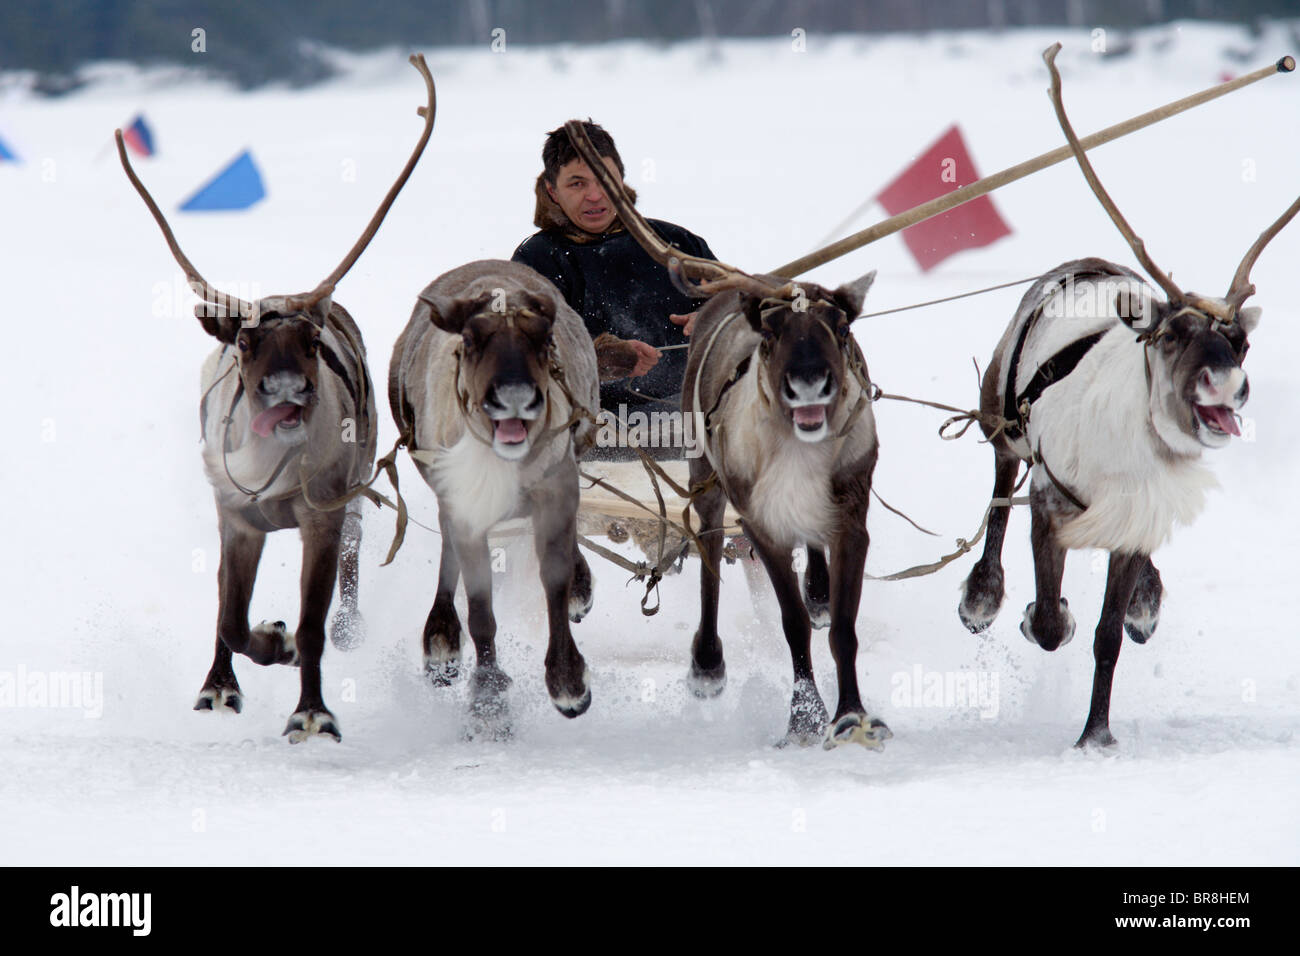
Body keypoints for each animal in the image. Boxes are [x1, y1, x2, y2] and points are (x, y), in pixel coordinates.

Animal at [116, 54, 437, 743]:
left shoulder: (321, 512)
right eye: (244, 338)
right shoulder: (235, 514)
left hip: (359, 484)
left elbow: (312, 626)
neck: (272, 472)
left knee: (352, 565)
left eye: (311, 342)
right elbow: (229, 617)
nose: (287, 395)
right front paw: (236, 671)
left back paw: (346, 629)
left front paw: (312, 711)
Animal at [389, 259, 600, 737]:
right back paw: (441, 641)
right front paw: (488, 702)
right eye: (469, 339)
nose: (516, 399)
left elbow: (554, 581)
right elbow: (481, 610)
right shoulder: (466, 507)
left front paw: (568, 682)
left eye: (544, 338)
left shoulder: (557, 491)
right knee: (447, 549)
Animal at [561, 121, 889, 751]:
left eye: (840, 327)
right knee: (709, 546)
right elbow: (789, 625)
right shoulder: (758, 518)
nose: (808, 383)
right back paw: (707, 665)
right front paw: (804, 717)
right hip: (704, 474)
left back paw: (814, 591)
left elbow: (843, 626)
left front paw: (853, 715)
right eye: (773, 330)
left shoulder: (851, 516)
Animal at [958, 44, 1300, 748]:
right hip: (999, 413)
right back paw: (981, 597)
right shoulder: (1050, 502)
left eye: (1240, 343)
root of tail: (1085, 261)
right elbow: (1053, 624)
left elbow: (1108, 637)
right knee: (999, 484)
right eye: (1170, 335)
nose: (1229, 384)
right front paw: (1035, 614)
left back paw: (1147, 601)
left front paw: (1096, 736)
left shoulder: (1134, 520)